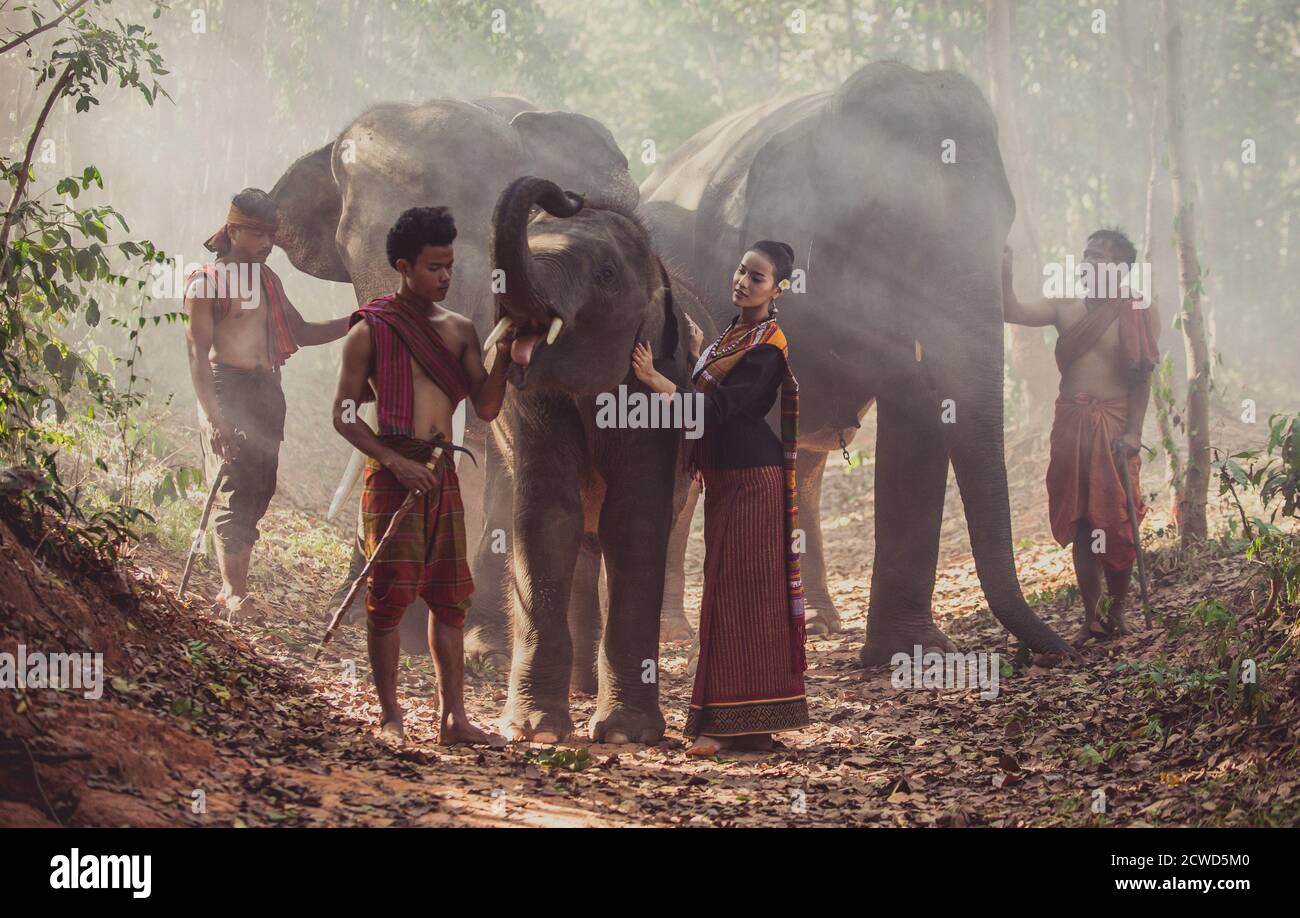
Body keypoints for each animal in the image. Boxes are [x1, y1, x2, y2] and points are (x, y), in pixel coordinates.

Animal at [487, 175, 708, 743]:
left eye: (605, 275)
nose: (568, 194)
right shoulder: (532, 401)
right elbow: (546, 518)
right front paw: (535, 731)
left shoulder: (656, 391)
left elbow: (632, 523)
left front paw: (626, 735)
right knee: (582, 543)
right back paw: (580, 692)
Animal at [638, 61, 1071, 663]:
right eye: (892, 229)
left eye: (1003, 221)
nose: (1072, 648)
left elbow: (917, 410)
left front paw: (908, 651)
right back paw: (675, 632)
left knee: (804, 463)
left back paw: (819, 620)